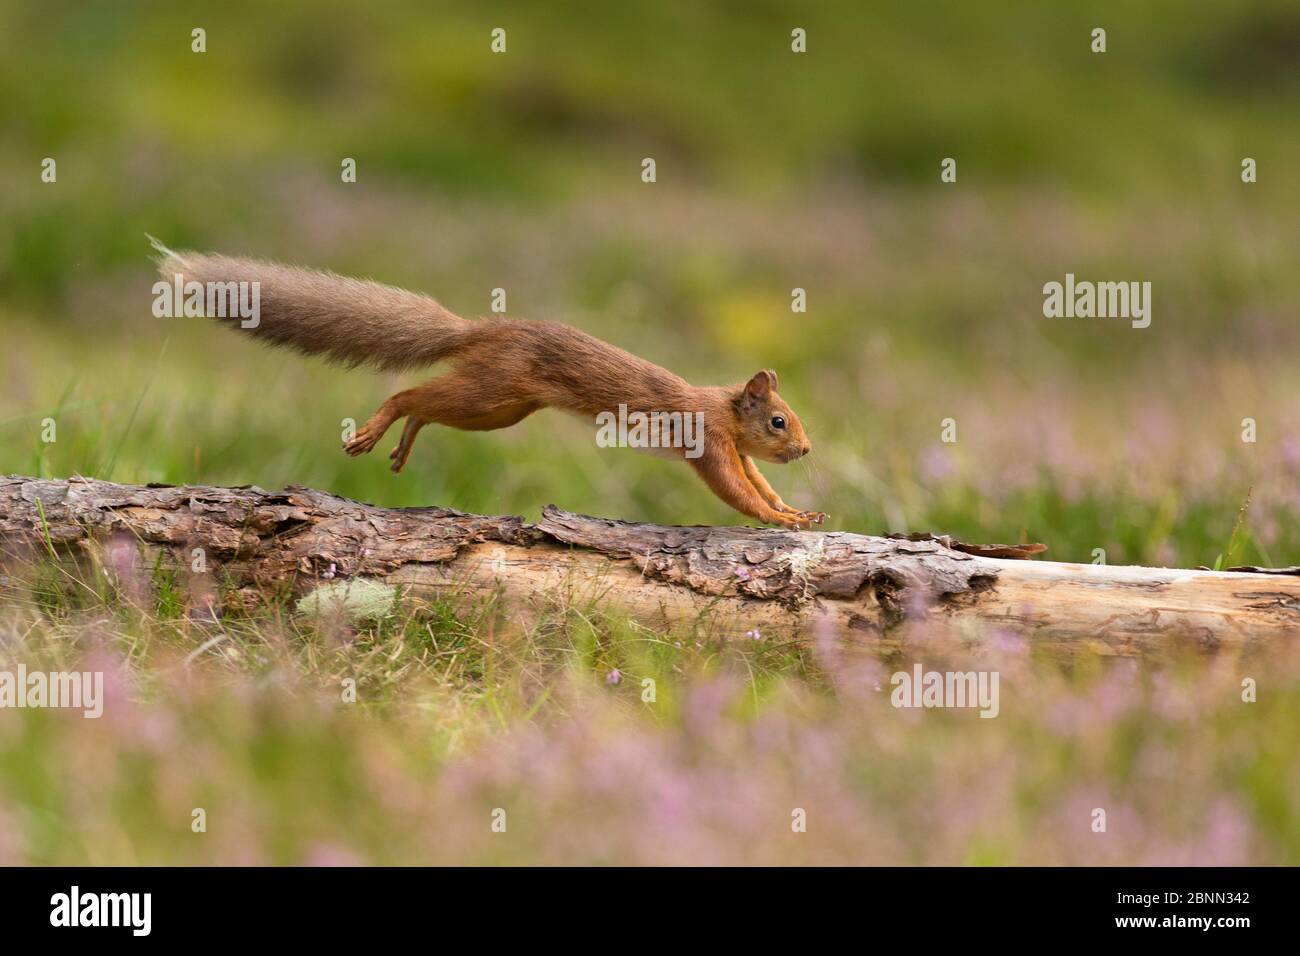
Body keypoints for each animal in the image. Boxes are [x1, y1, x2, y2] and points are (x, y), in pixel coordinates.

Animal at [153, 245, 826, 529]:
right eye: (778, 421)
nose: (806, 449)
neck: (724, 409)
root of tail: (479, 330)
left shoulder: (735, 451)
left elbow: (757, 482)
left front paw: (796, 508)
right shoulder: (710, 442)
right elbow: (736, 493)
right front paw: (781, 520)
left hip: (501, 410)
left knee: (425, 408)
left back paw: (400, 447)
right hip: (494, 393)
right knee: (409, 395)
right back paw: (373, 433)